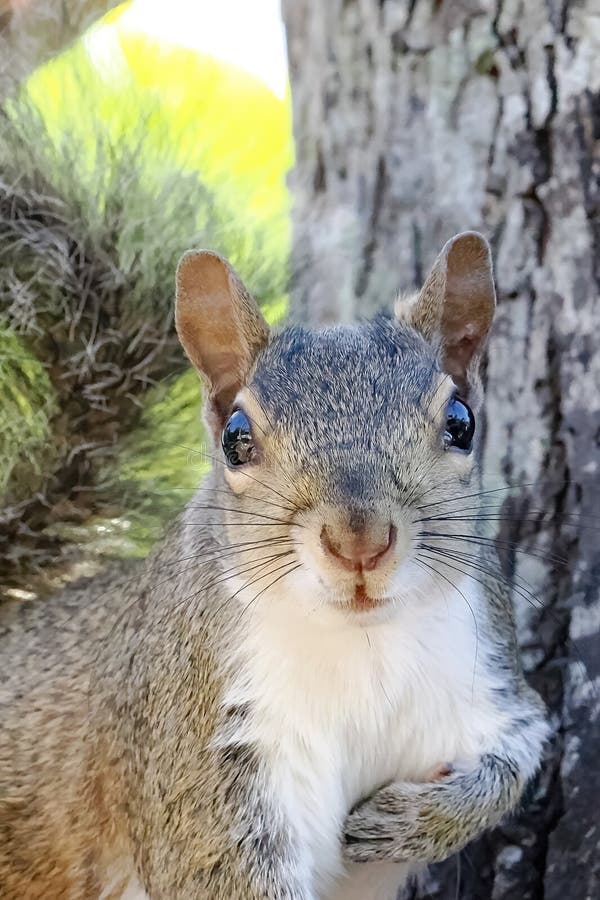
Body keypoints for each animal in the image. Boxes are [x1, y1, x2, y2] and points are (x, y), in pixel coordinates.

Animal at [0, 232, 548, 900]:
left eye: (461, 423)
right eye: (236, 437)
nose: (359, 542)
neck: (360, 644)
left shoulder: (488, 684)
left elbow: (512, 761)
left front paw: (406, 822)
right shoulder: (203, 751)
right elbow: (214, 870)